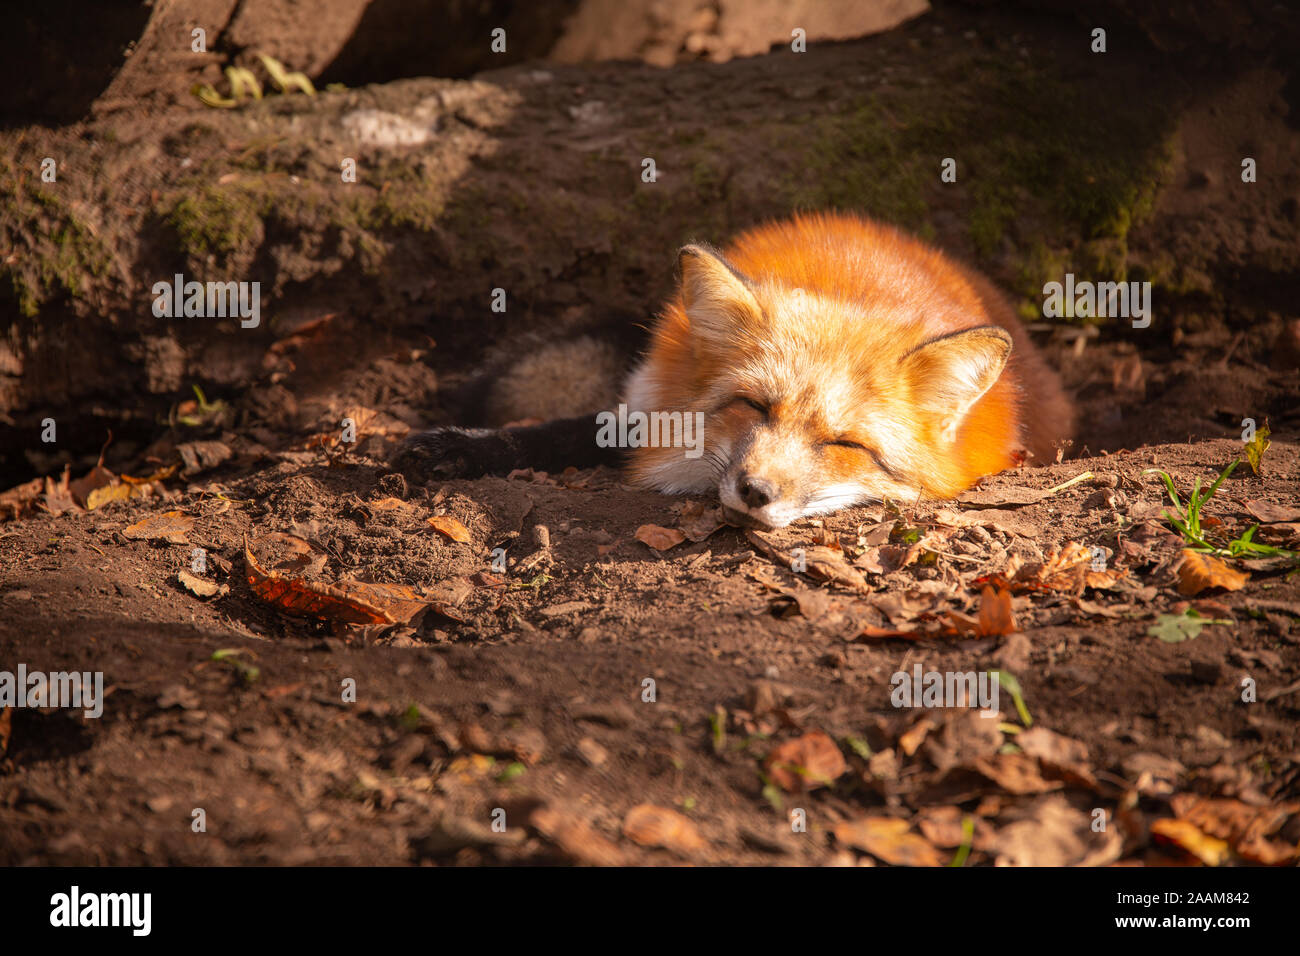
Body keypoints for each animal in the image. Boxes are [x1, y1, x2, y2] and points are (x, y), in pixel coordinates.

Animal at [394, 211, 1074, 529]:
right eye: (755, 406)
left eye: (845, 444)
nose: (755, 492)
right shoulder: (640, 404)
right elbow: (557, 434)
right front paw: (462, 449)